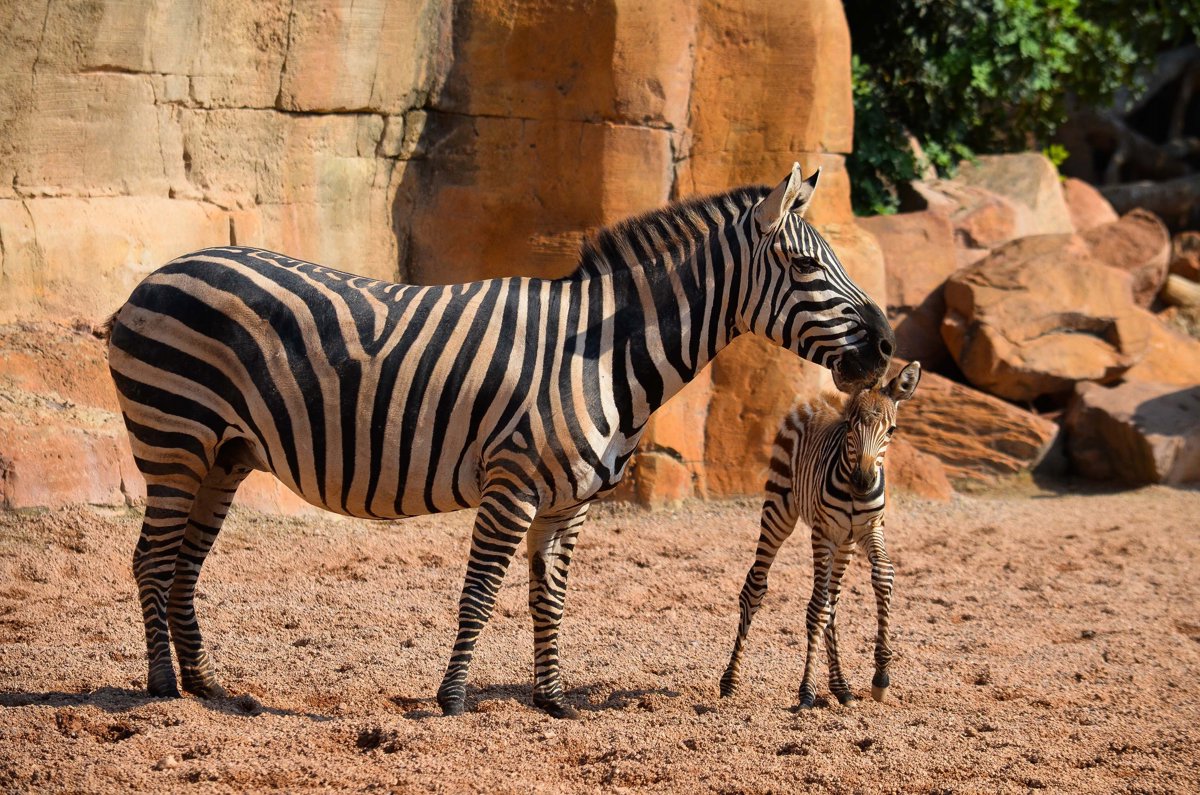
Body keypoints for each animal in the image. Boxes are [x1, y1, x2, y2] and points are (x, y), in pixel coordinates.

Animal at [104, 163, 895, 718]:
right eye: (806, 266)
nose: (886, 345)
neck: (601, 354)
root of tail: (159, 273)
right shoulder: (511, 482)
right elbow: (480, 594)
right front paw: (453, 699)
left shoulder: (570, 500)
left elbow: (550, 597)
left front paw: (551, 698)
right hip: (174, 439)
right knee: (152, 559)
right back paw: (162, 685)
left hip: (224, 454)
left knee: (184, 564)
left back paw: (206, 684)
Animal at [719, 361, 921, 708]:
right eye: (850, 426)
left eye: (891, 430)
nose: (863, 481)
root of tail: (817, 401)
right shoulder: (823, 533)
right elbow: (816, 608)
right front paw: (806, 692)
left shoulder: (869, 529)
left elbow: (882, 576)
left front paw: (881, 675)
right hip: (779, 510)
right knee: (755, 588)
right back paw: (730, 681)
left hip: (845, 543)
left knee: (833, 603)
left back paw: (841, 687)